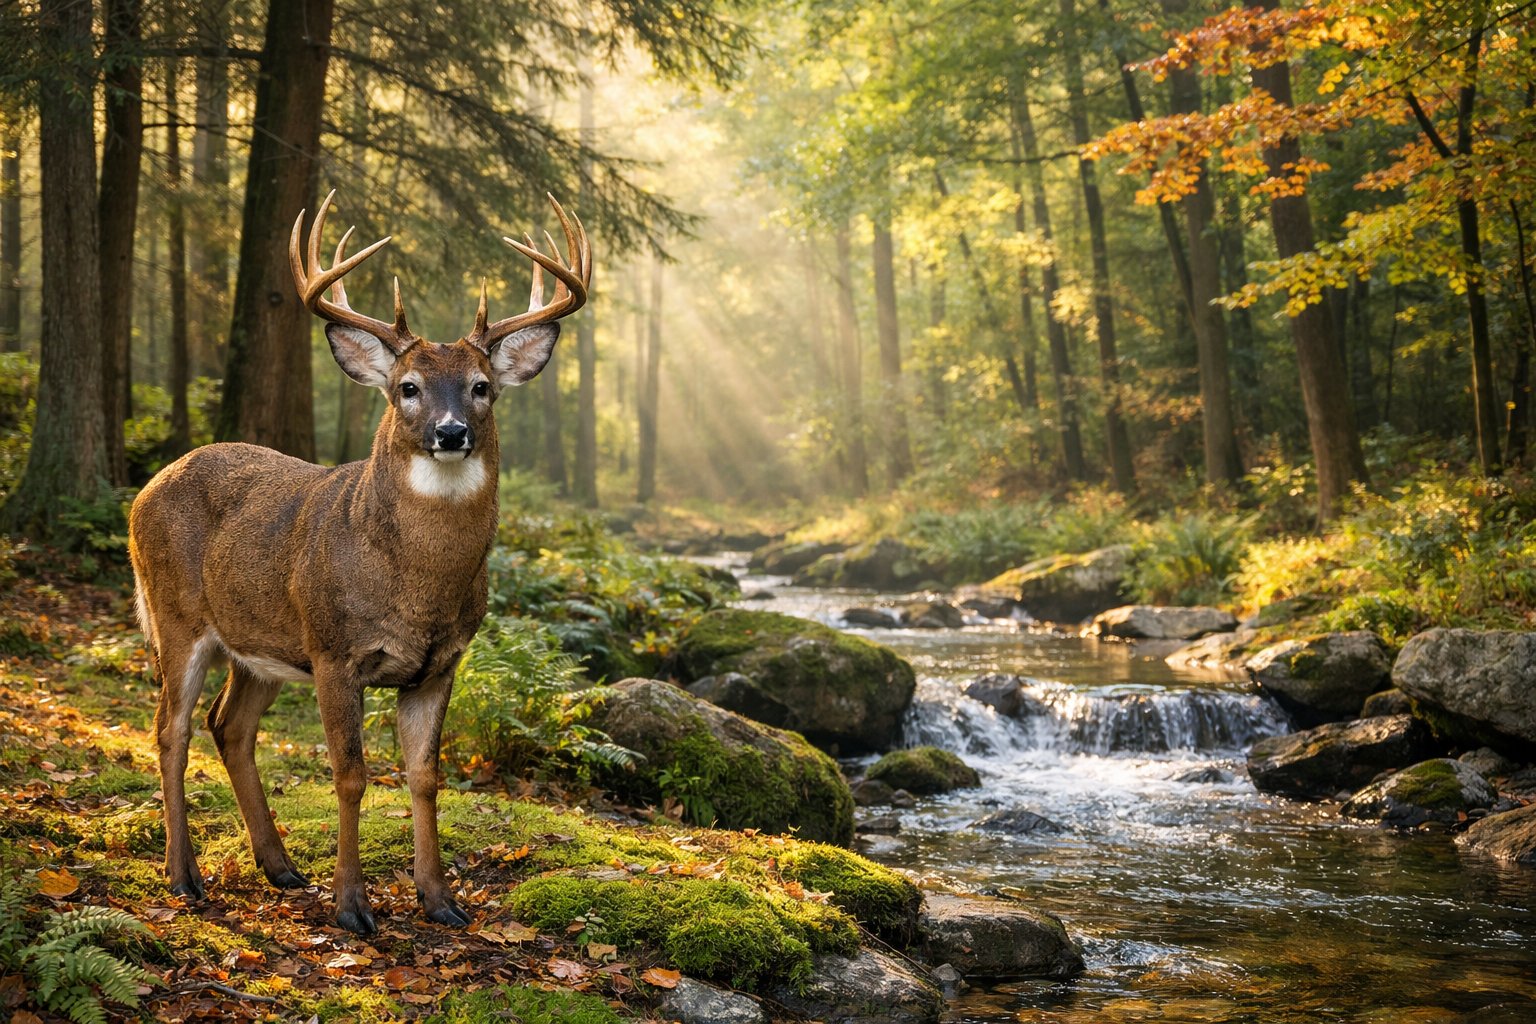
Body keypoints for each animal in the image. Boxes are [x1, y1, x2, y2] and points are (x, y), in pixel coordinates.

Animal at [128, 190, 590, 934]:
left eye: (481, 386)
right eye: (407, 387)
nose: (450, 433)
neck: (418, 585)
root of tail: (146, 488)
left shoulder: (439, 663)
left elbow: (425, 776)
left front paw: (440, 899)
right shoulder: (335, 650)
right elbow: (350, 775)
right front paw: (352, 906)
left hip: (263, 643)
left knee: (229, 726)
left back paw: (282, 867)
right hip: (177, 615)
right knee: (171, 729)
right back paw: (184, 876)